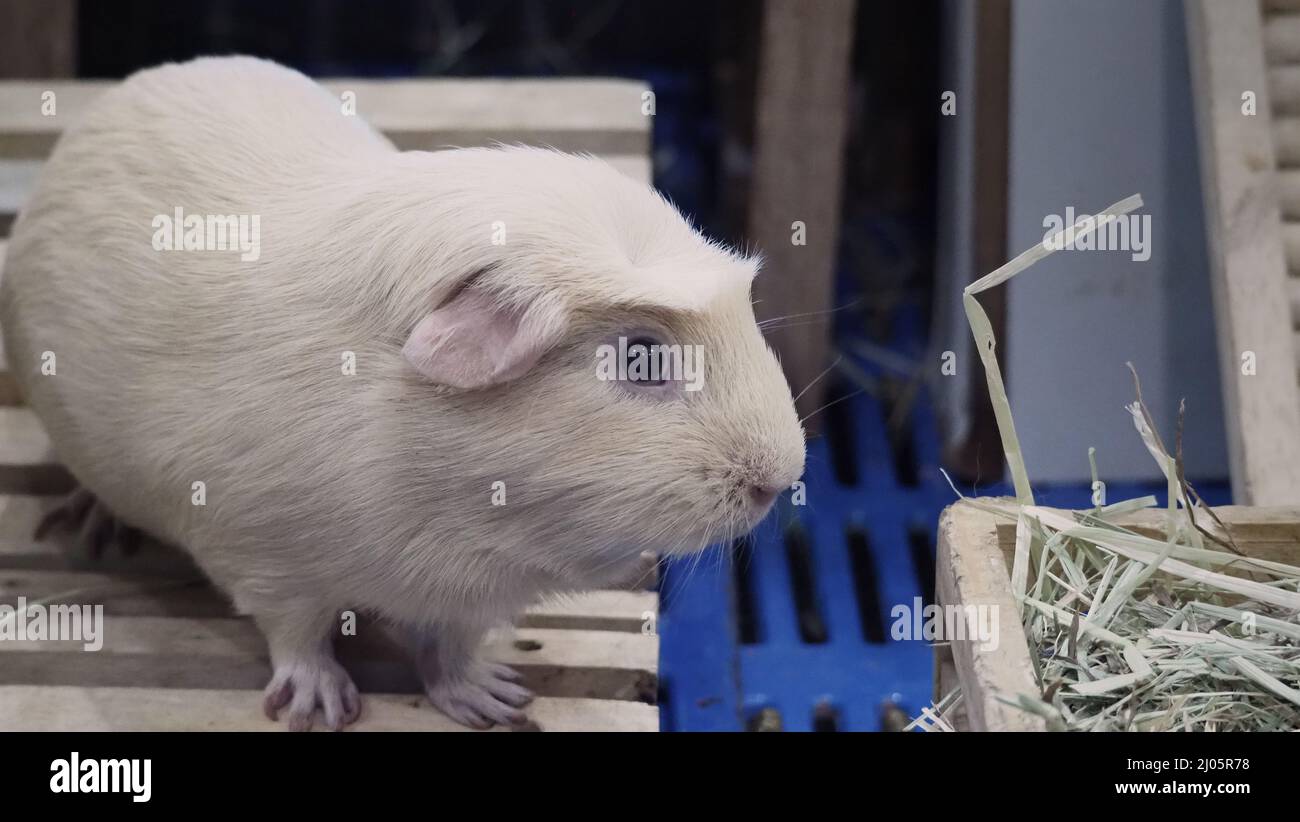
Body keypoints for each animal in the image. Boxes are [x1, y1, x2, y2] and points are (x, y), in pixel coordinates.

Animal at [0, 56, 806, 730]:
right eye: (640, 356)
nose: (780, 478)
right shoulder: (262, 557)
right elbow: (297, 634)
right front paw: (321, 709)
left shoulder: (463, 600)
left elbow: (449, 650)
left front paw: (497, 703)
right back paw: (89, 527)